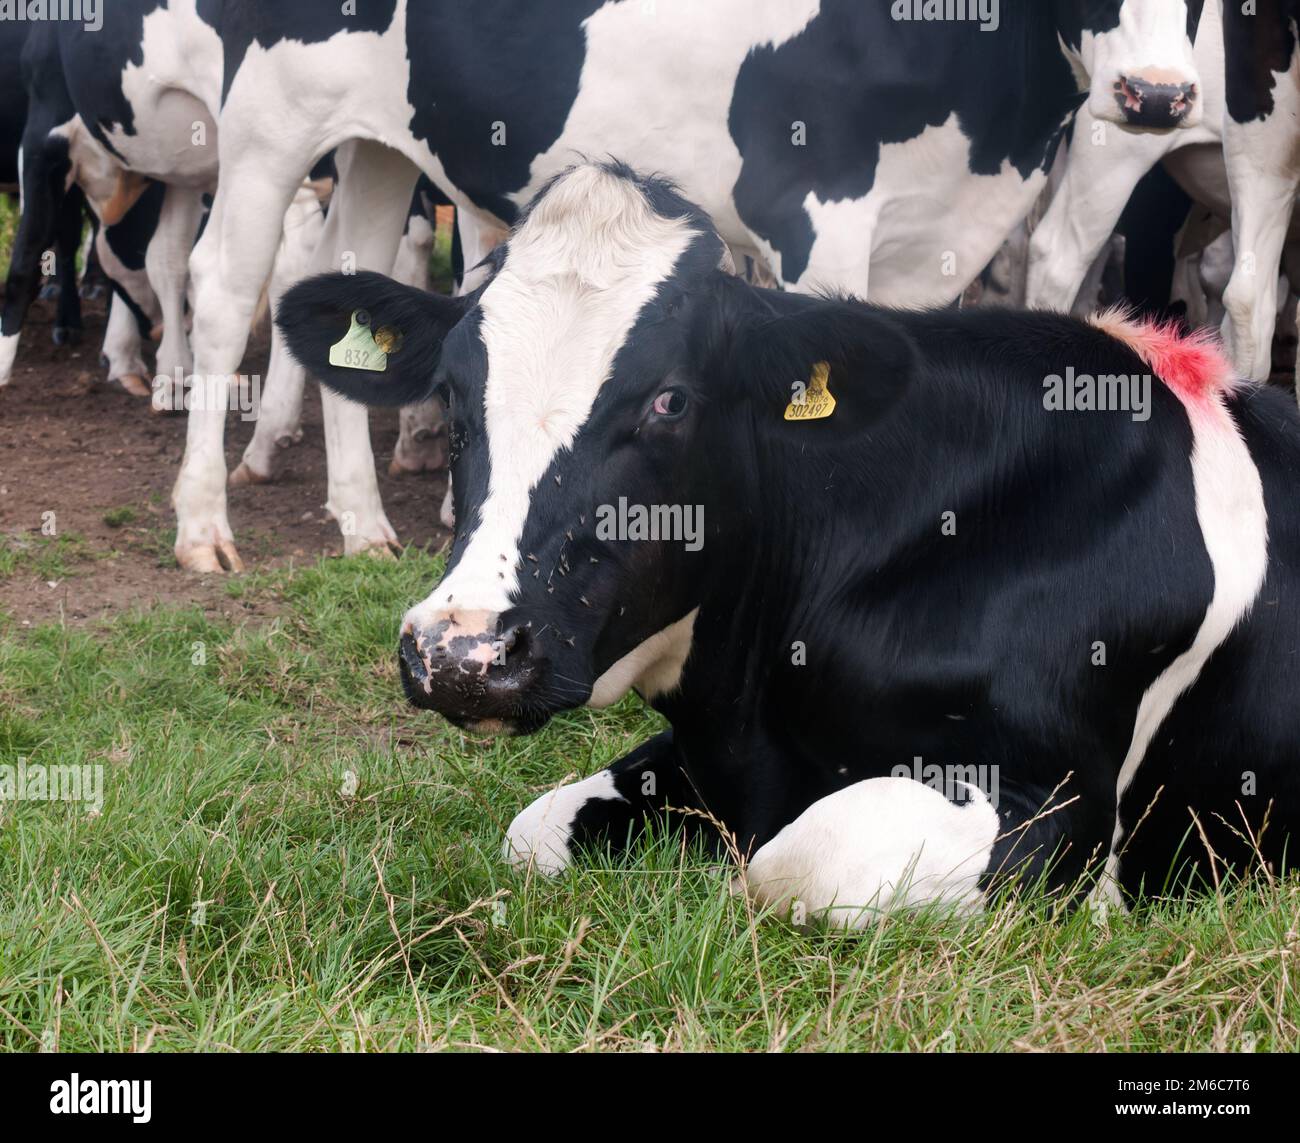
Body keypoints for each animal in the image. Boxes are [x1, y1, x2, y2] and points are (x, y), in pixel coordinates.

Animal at [173, 0, 1203, 570]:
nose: (1159, 96)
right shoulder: (815, 212)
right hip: (268, 124)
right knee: (222, 284)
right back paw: (203, 524)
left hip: (379, 144)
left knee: (347, 273)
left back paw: (359, 520)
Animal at [277, 162, 1300, 921]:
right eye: (453, 397)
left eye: (671, 399)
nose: (463, 653)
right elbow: (531, 832)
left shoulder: (1058, 802)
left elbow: (791, 863)